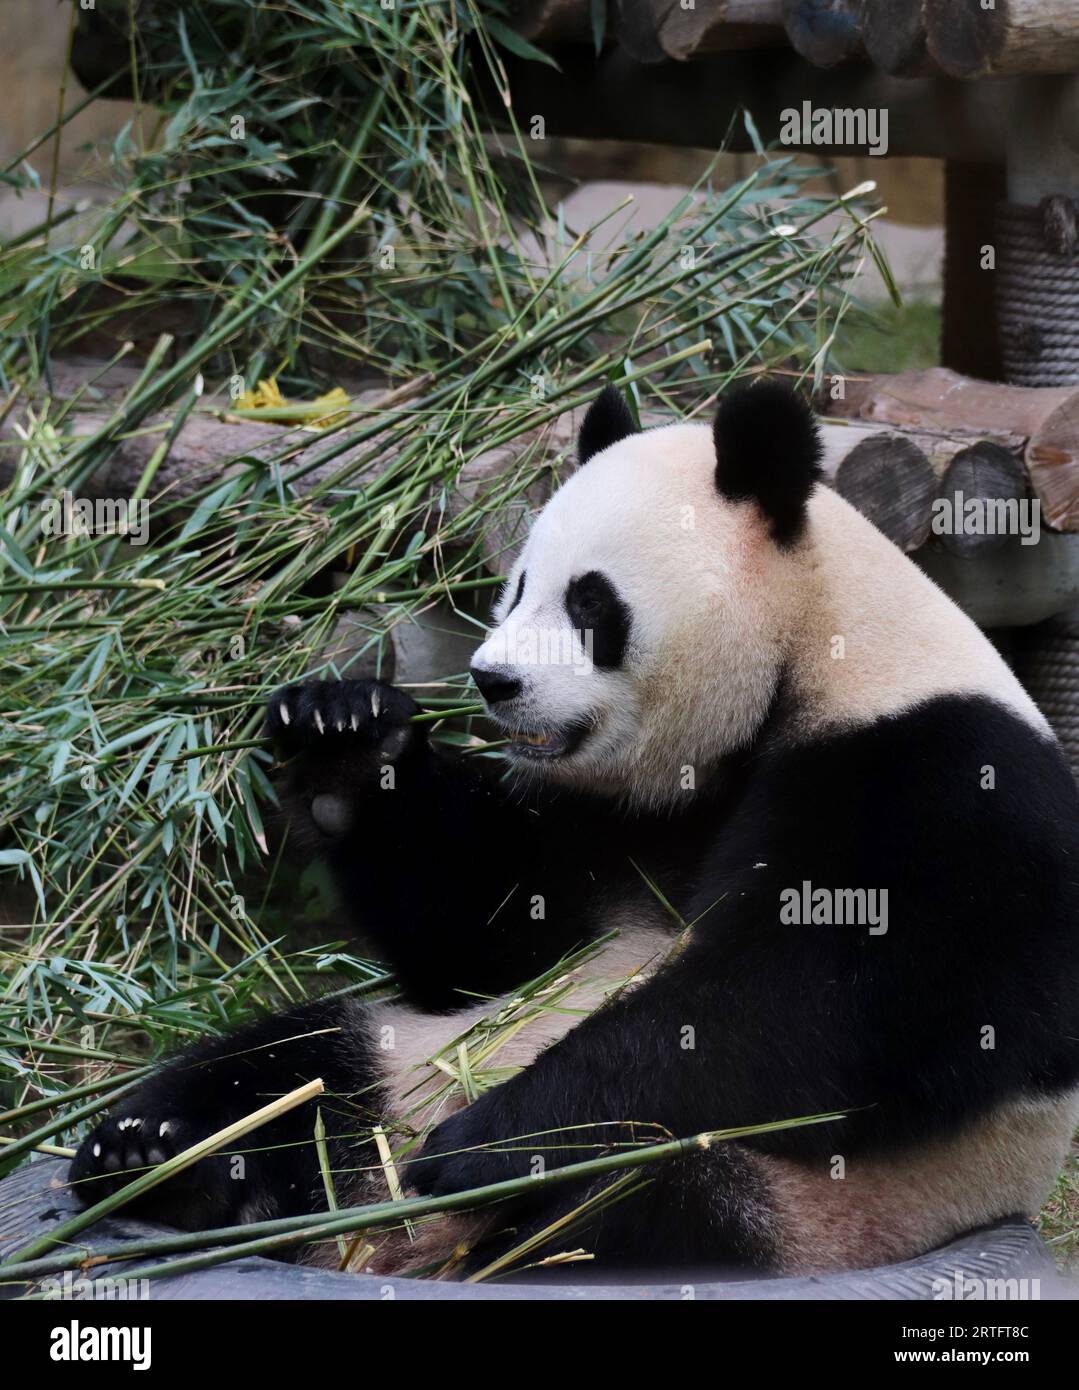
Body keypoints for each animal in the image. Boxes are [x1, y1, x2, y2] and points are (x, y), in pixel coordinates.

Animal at [72, 382, 1079, 1278]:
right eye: (517, 585)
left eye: (590, 602)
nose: (492, 680)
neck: (807, 651)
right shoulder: (607, 811)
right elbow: (479, 937)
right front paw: (341, 738)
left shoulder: (934, 771)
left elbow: (821, 1004)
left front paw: (481, 1144)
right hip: (406, 1060)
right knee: (301, 1059)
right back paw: (165, 1159)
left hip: (815, 1212)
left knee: (632, 1206)